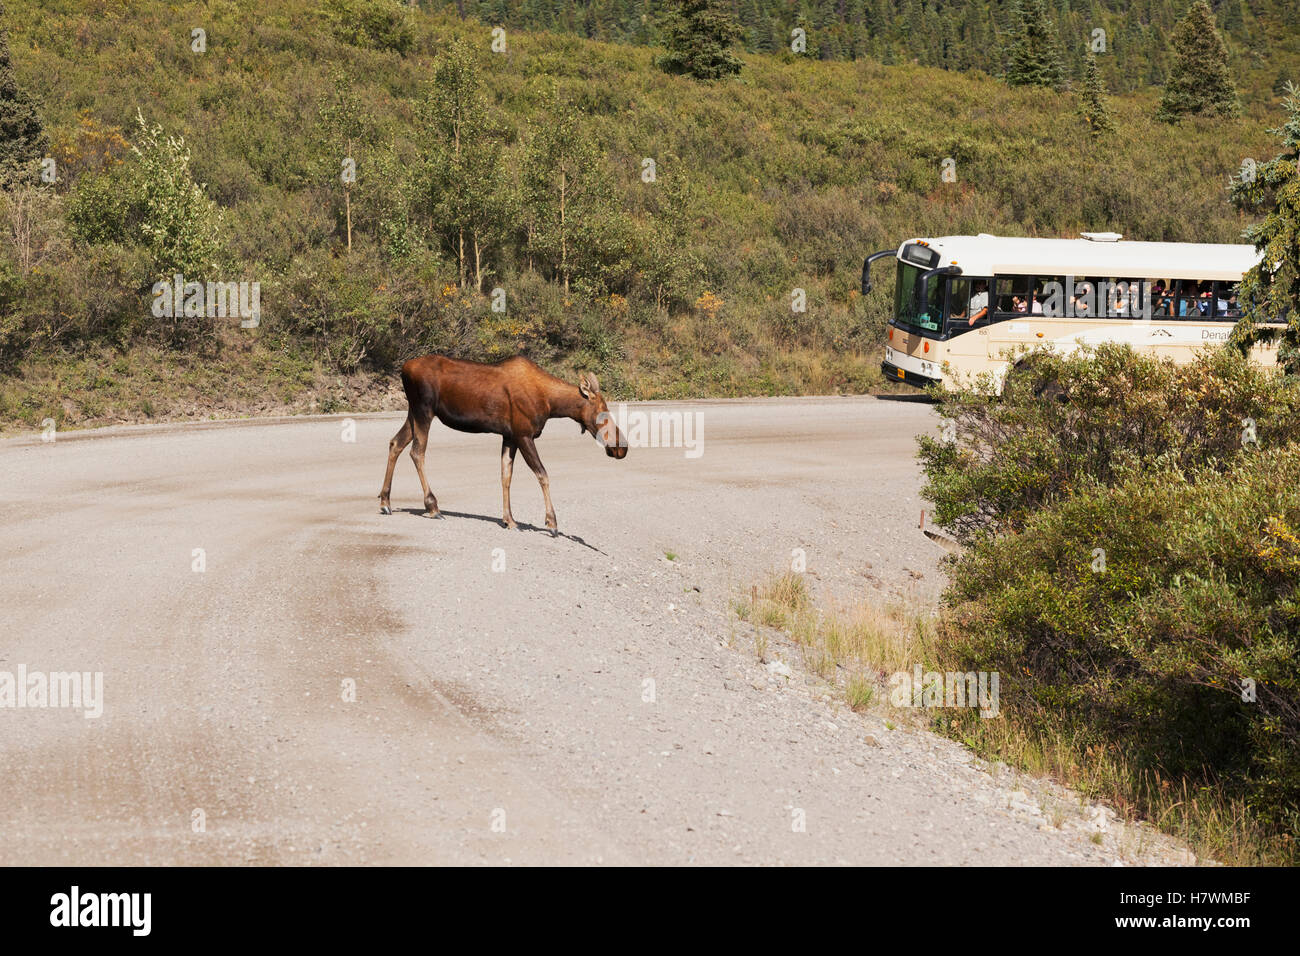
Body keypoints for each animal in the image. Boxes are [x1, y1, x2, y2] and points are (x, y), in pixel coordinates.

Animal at [378, 355, 627, 534]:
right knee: (417, 452)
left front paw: (510, 520)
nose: (621, 447)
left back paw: (385, 501)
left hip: (414, 412)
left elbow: (506, 475)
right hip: (424, 410)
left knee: (395, 443)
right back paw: (432, 506)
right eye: (603, 412)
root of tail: (403, 369)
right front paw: (552, 522)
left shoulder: (509, 436)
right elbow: (542, 474)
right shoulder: (524, 434)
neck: (551, 404)